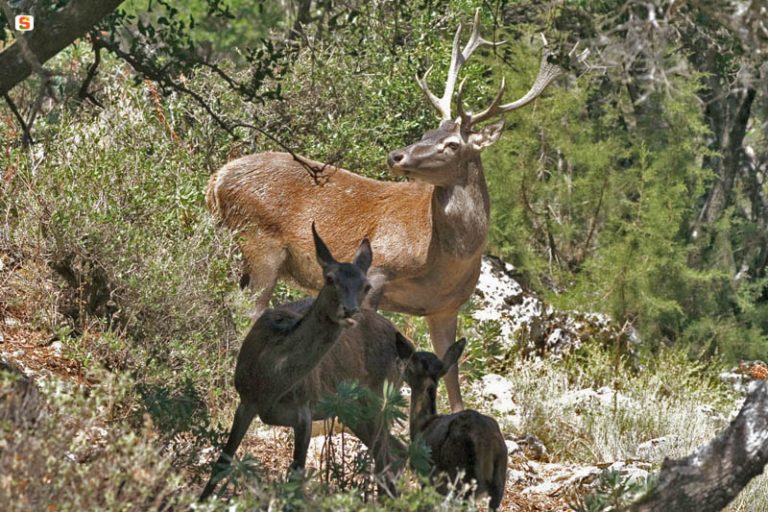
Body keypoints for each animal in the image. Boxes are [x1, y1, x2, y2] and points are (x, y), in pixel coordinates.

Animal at [200, 223, 412, 500]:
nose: (350, 311)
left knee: (385, 457)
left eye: (366, 286)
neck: (270, 379)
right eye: (330, 278)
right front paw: (200, 500)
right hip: (358, 411)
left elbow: (296, 476)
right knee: (395, 452)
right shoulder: (245, 401)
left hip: (381, 399)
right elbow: (222, 461)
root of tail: (402, 342)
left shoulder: (305, 410)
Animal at [206, 9, 575, 413]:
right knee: (247, 309)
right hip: (261, 240)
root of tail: (216, 180)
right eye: (427, 132)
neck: (442, 258)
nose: (396, 155)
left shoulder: (446, 307)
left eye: (450, 143)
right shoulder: (380, 269)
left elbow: (453, 376)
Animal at [395, 336, 508, 511]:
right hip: (499, 480)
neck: (422, 425)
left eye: (409, 366)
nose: (398, 363)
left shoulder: (426, 475)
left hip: (459, 476)